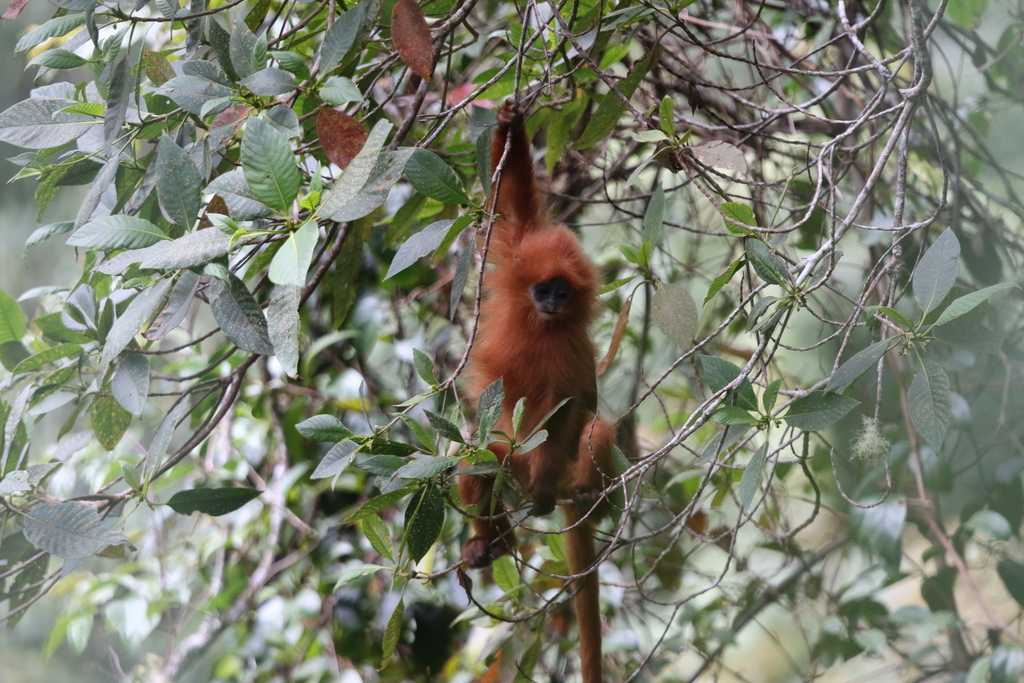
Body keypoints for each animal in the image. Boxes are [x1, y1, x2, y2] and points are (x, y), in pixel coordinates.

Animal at [458, 99, 616, 683]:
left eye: (563, 293)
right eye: (542, 288)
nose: (549, 302)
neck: (544, 327)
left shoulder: (573, 350)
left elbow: (572, 406)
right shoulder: (515, 253)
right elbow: (514, 203)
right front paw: (511, 123)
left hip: (544, 462)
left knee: (590, 430)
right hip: (507, 455)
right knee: (478, 455)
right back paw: (488, 544)